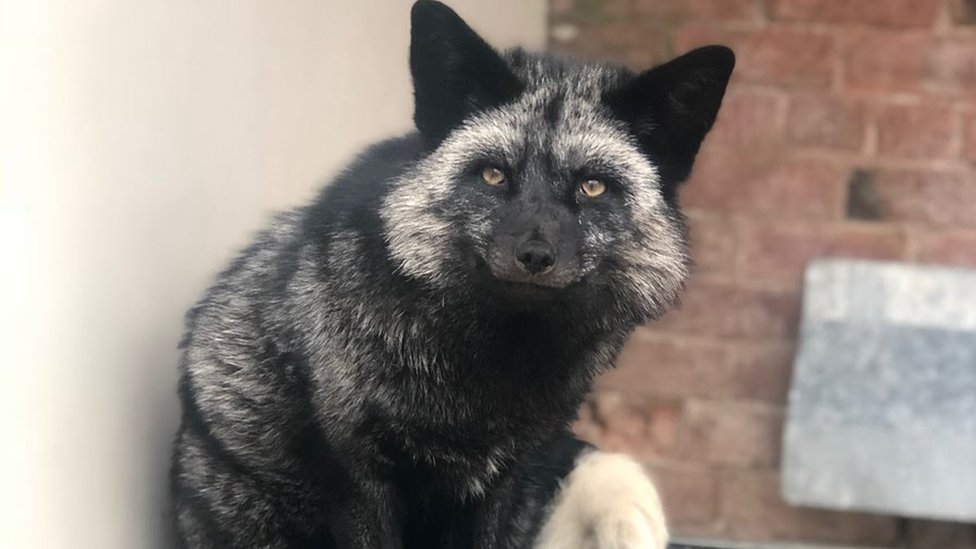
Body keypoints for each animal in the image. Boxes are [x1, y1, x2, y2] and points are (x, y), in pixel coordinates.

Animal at [170, 1, 734, 547]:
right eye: (493, 174)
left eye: (592, 187)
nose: (535, 256)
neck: (489, 369)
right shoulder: (359, 478)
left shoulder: (508, 477)